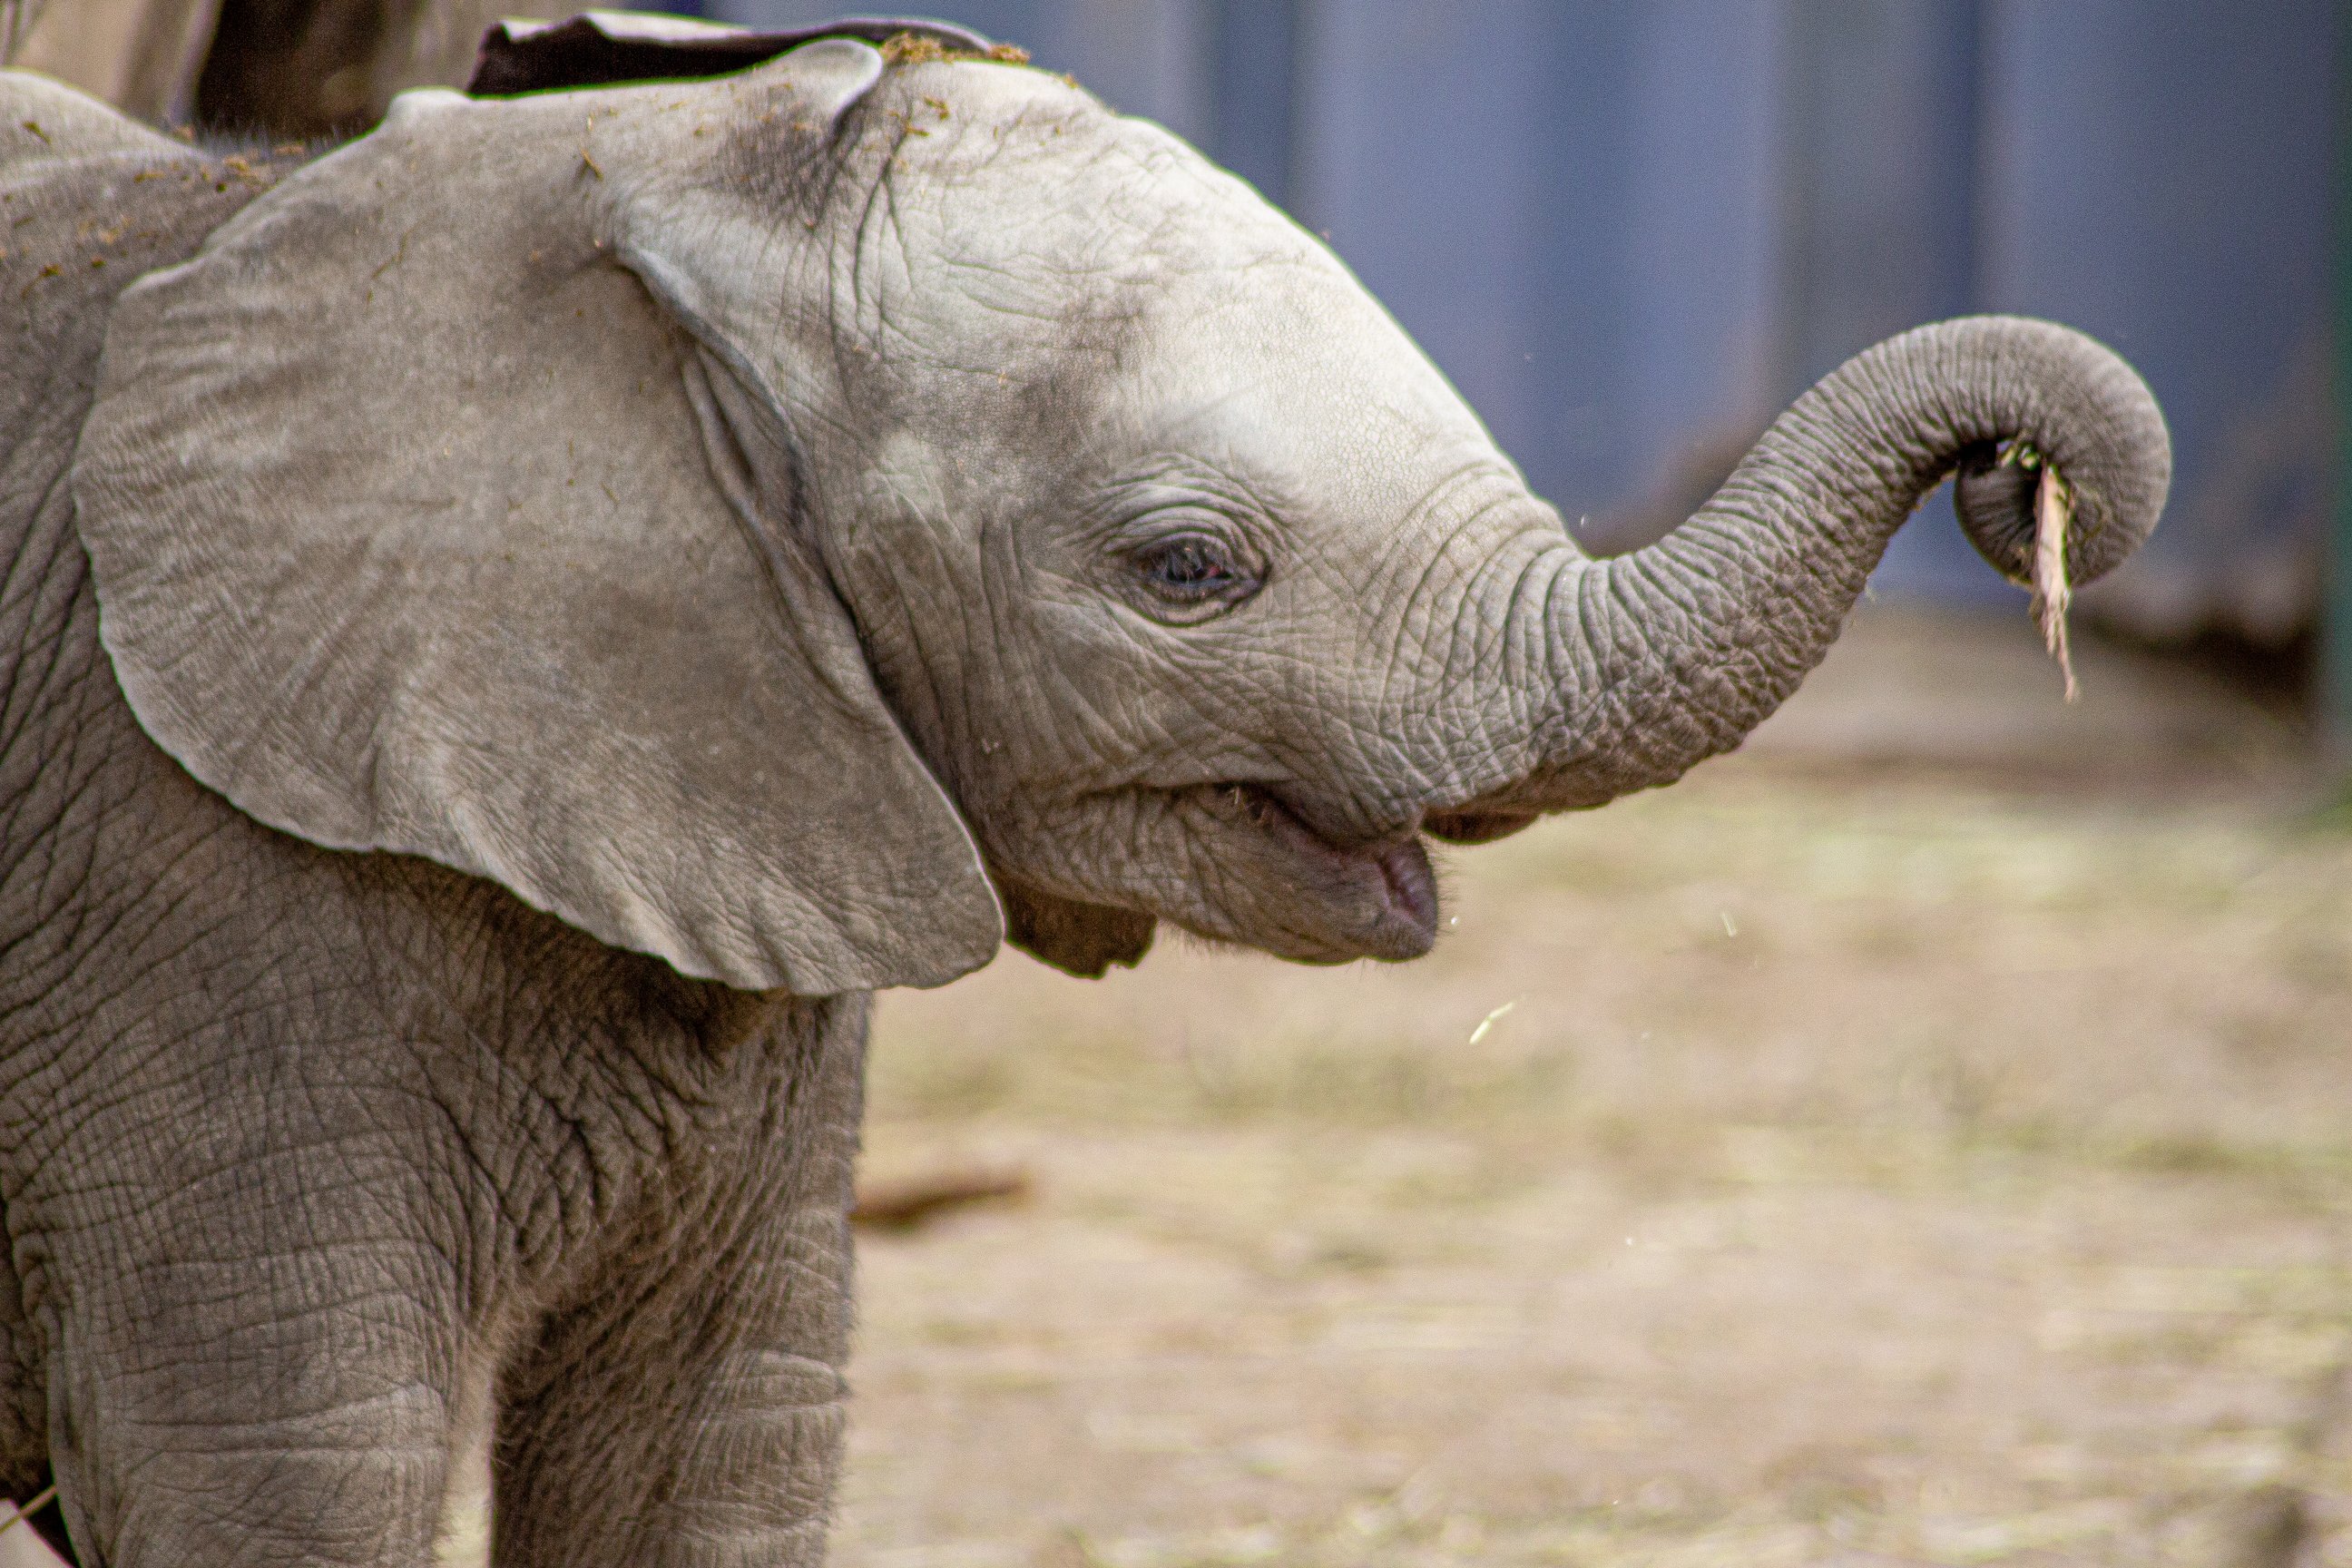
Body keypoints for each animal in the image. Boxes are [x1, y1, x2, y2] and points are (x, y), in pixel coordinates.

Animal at [0, 11, 2168, 1567]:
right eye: (1186, 571)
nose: (2020, 481)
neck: (619, 202)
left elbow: (717, 1455)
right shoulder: (196, 906)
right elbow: (294, 1478)